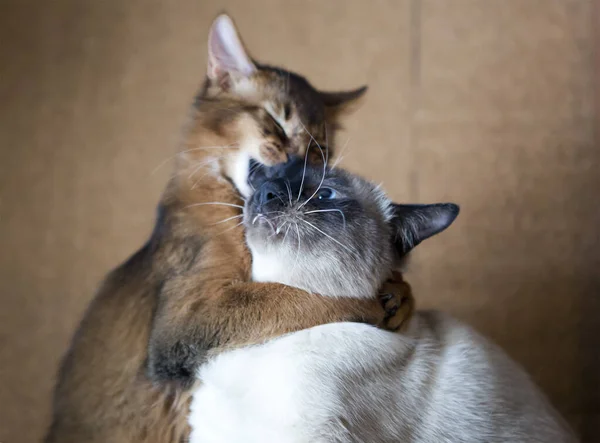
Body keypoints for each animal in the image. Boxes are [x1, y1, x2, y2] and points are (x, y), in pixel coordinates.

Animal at [44, 13, 412, 443]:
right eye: (276, 121)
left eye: (321, 151)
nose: (300, 166)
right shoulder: (184, 321)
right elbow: (290, 295)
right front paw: (373, 300)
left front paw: (402, 295)